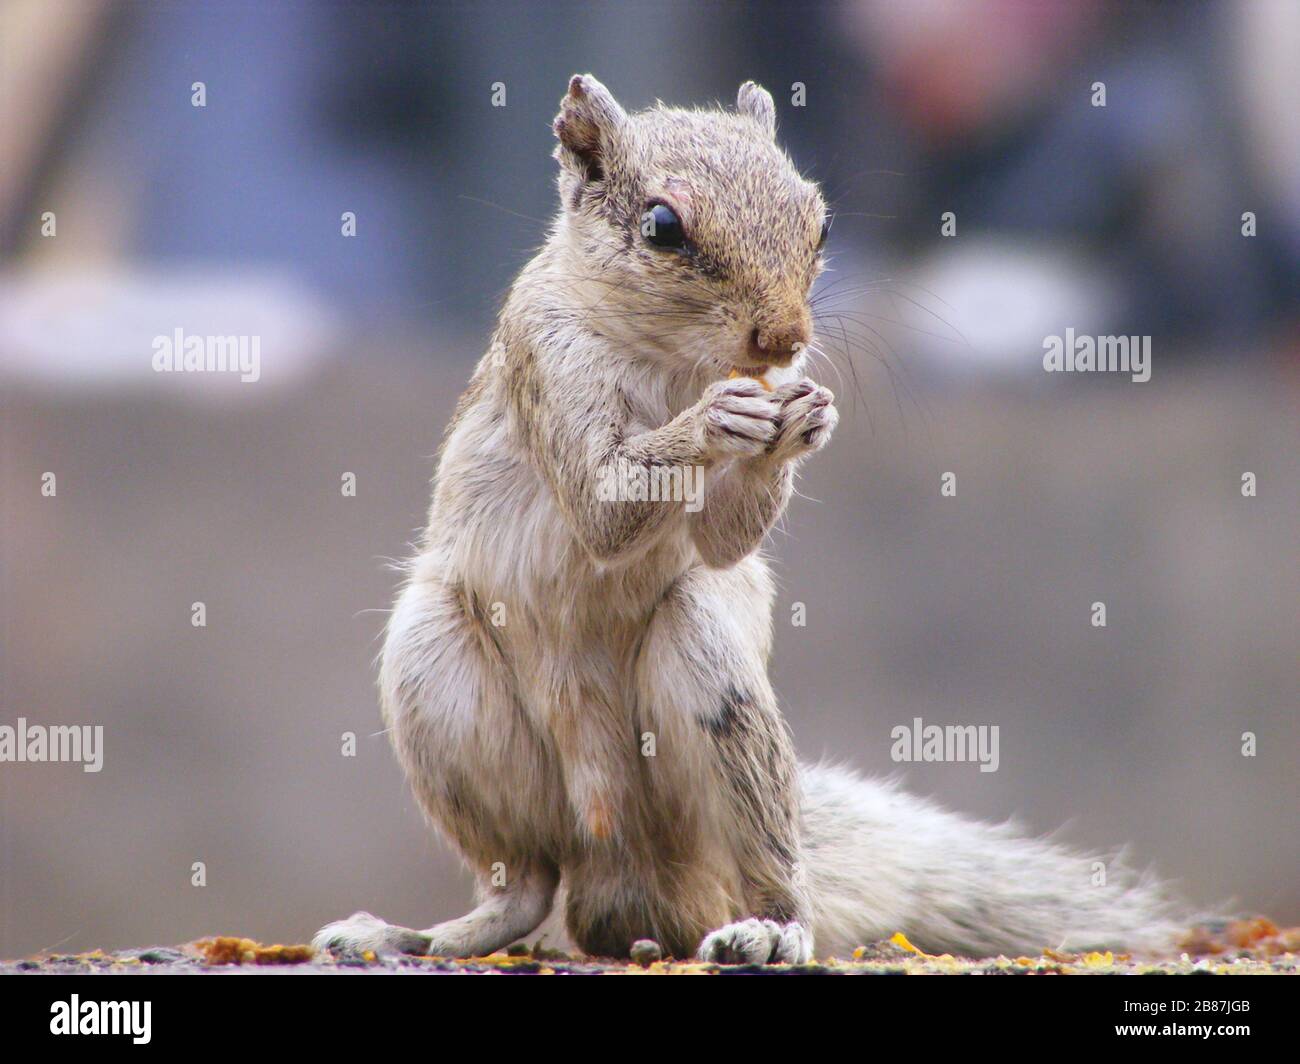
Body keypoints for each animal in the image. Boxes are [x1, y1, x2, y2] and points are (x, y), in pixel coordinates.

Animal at [314, 75, 1186, 963]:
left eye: (820, 220)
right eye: (662, 226)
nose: (784, 339)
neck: (672, 359)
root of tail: (619, 865)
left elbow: (724, 539)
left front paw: (799, 420)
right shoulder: (546, 359)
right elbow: (600, 501)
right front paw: (713, 421)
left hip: (714, 683)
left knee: (752, 865)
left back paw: (769, 928)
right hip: (437, 684)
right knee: (521, 887)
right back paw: (411, 934)